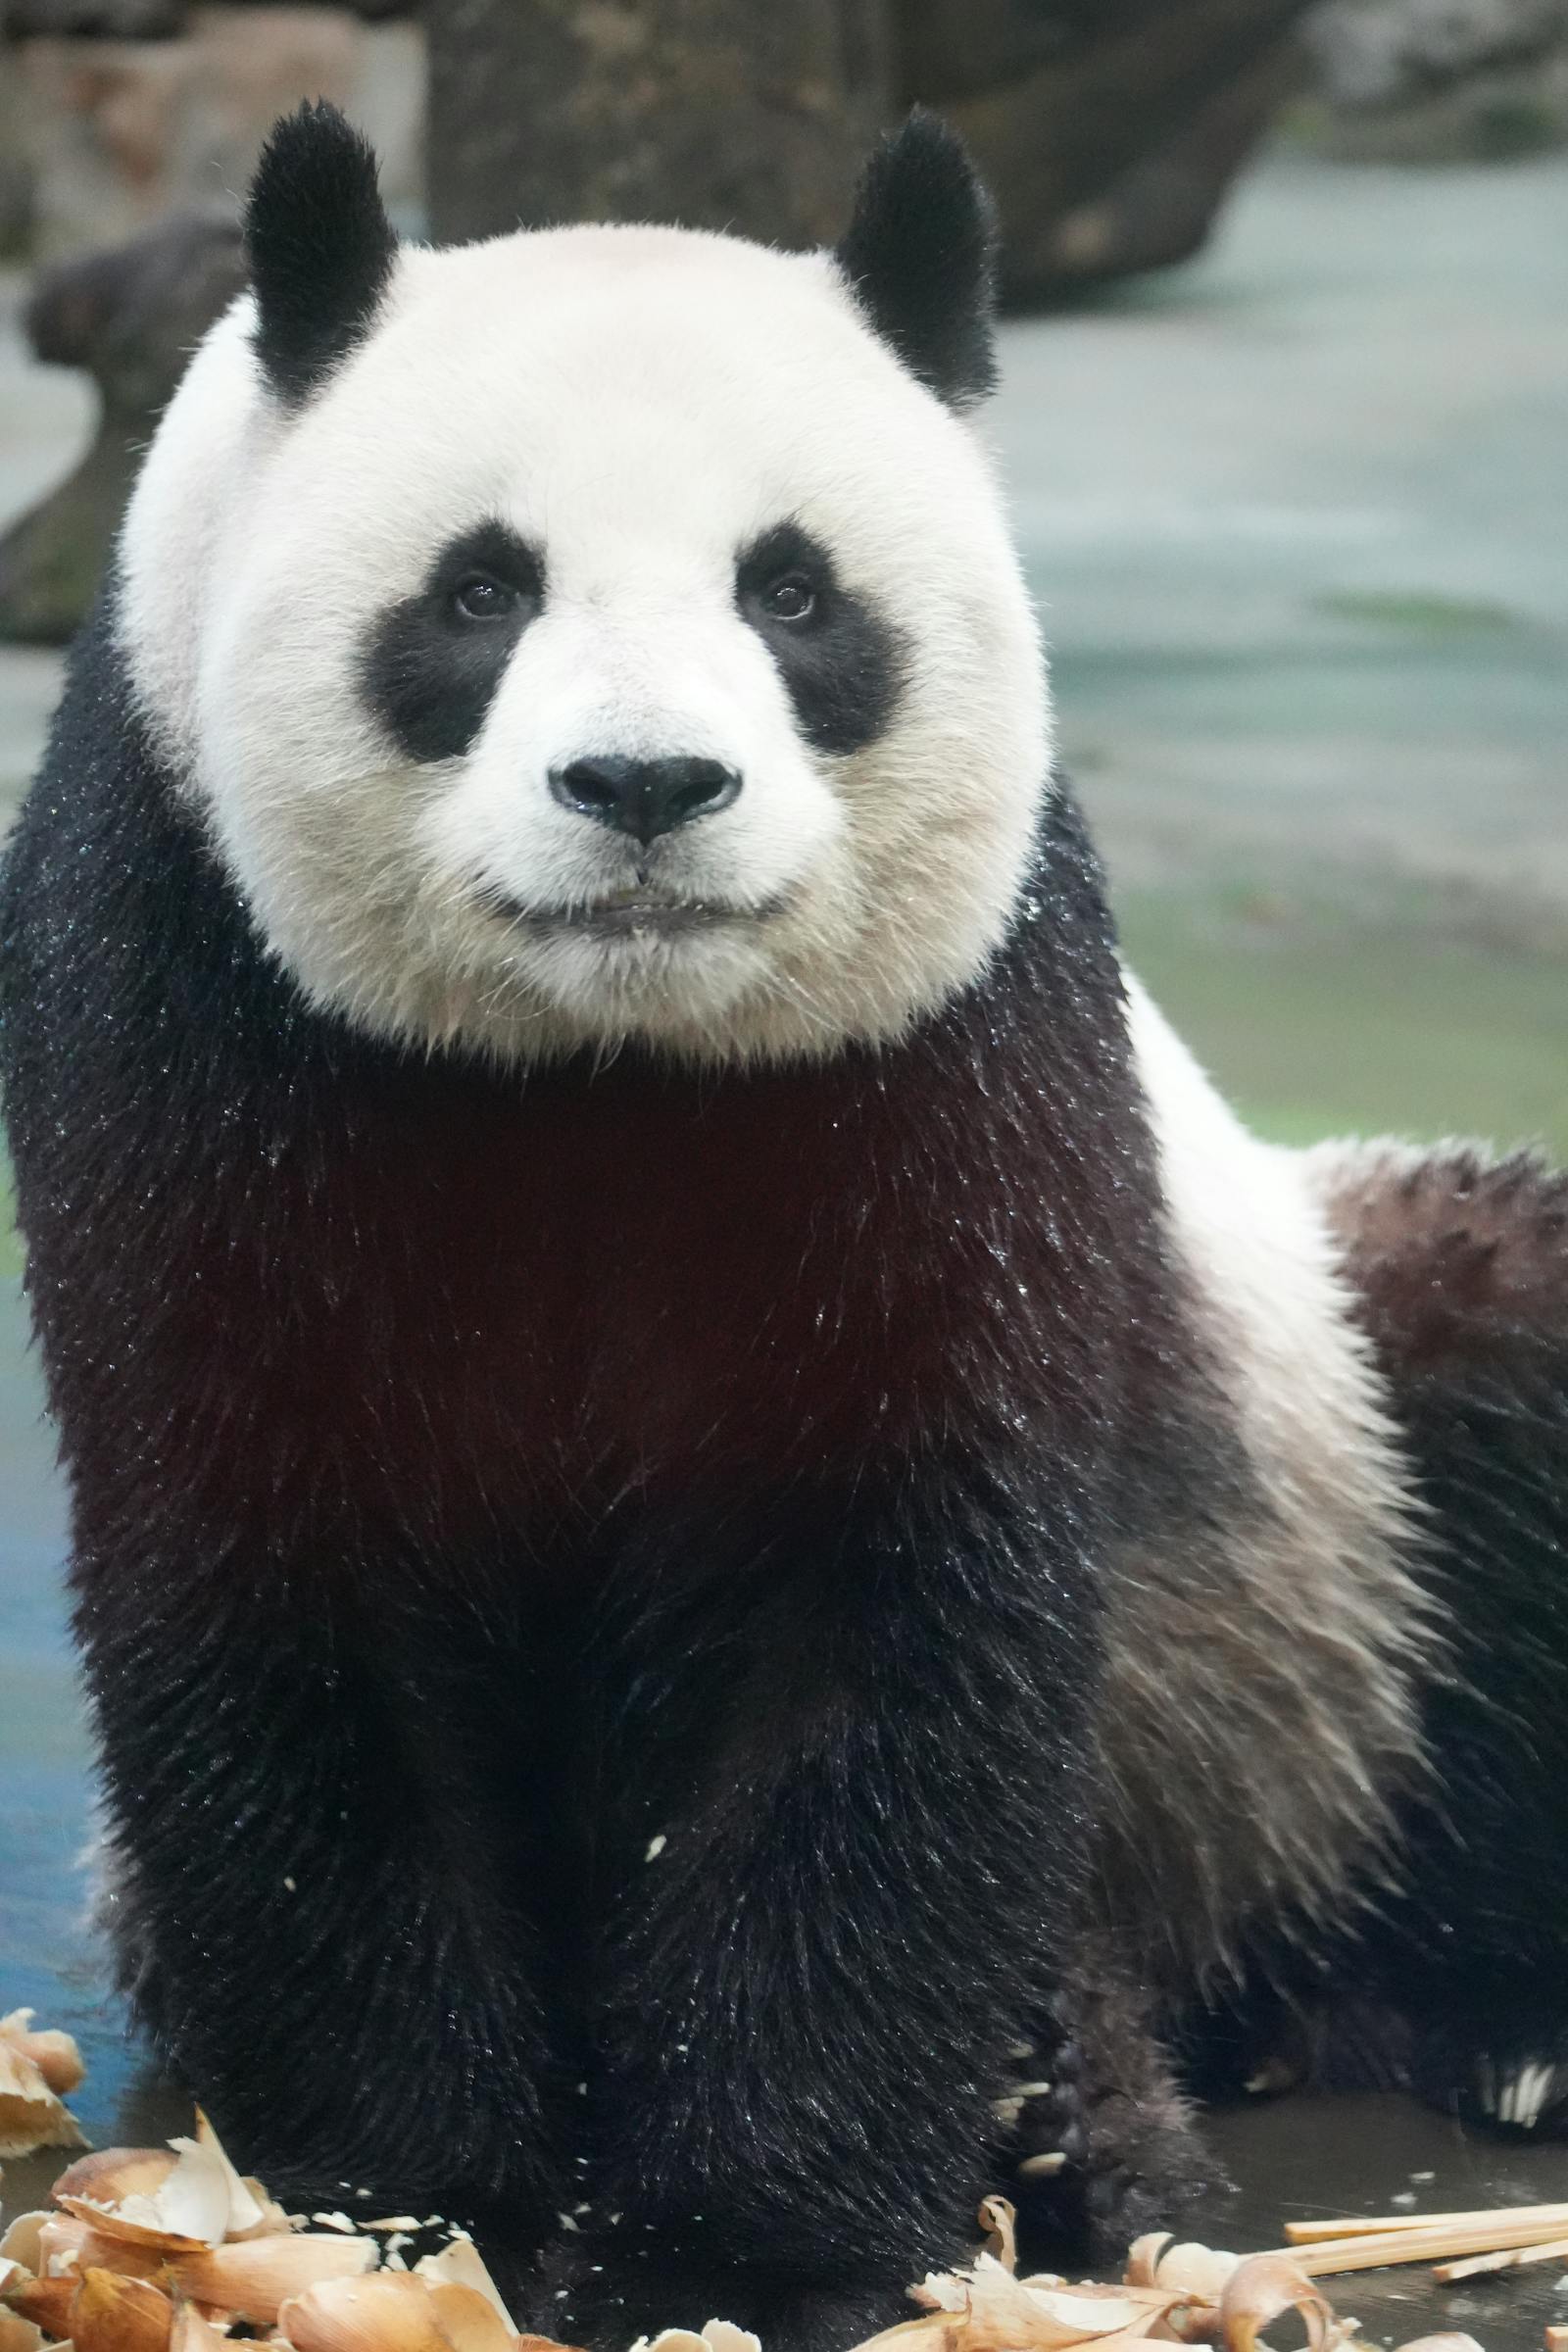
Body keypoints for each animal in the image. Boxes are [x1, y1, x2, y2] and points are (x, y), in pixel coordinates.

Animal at [1, 97, 1564, 2352]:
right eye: (478, 590)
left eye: (796, 594)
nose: (646, 786)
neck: (602, 1054)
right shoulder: (185, 975)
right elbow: (288, 1585)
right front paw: (405, 2219)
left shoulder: (938, 1050)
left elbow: (876, 1603)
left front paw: (760, 2249)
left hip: (1322, 1464)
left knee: (1492, 1372)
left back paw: (1443, 2032)